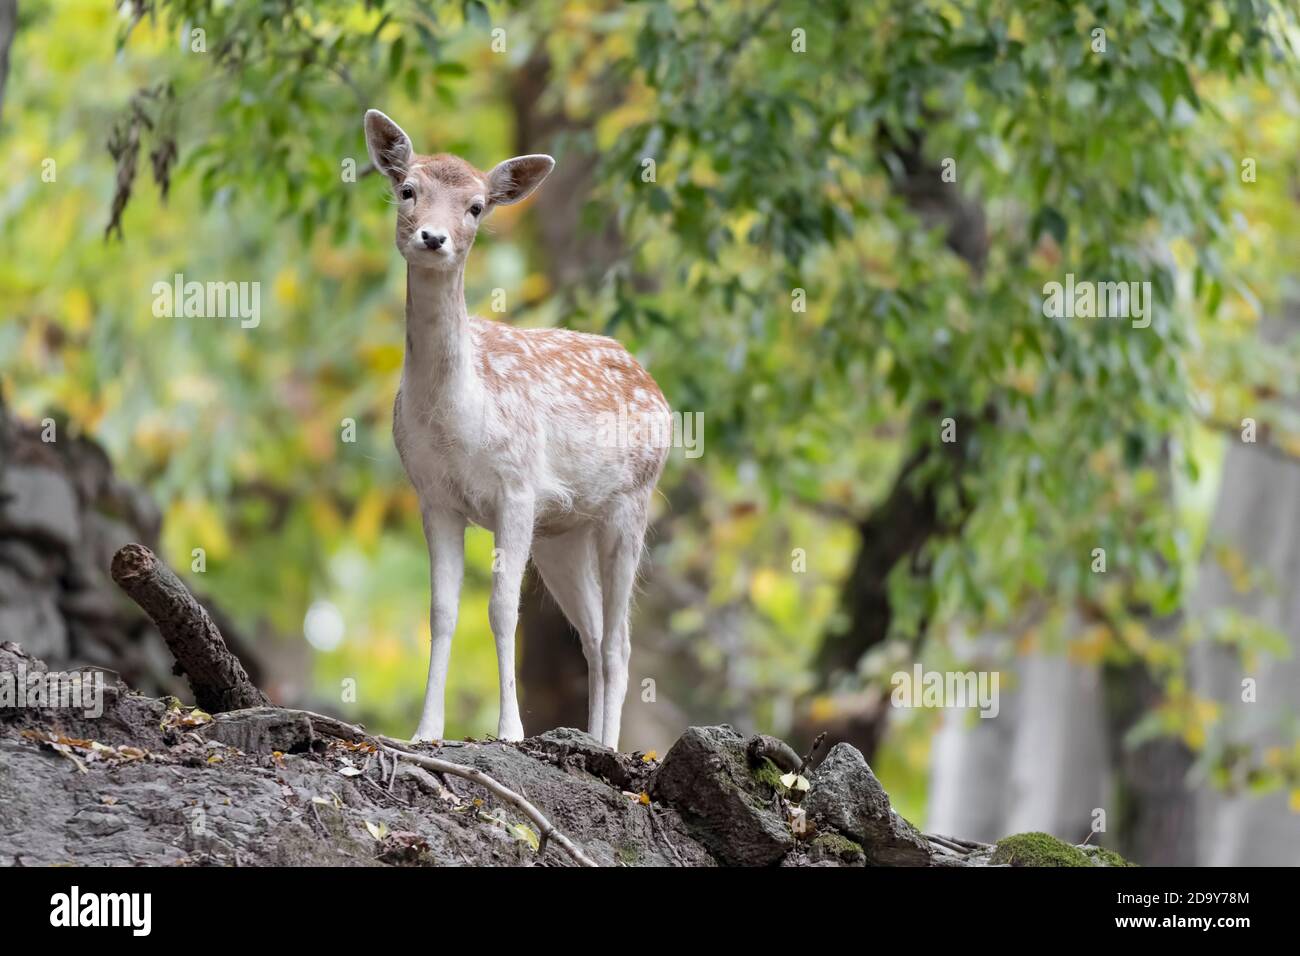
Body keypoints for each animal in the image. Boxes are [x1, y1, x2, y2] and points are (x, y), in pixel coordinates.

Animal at [363, 109, 670, 751]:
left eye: (477, 206)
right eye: (408, 190)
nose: (433, 238)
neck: (457, 416)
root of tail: (654, 383)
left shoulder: (518, 486)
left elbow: (502, 610)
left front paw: (509, 732)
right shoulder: (434, 496)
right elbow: (442, 611)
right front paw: (425, 732)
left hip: (632, 503)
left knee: (619, 643)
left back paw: (607, 746)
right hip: (562, 533)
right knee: (593, 636)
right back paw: (588, 739)